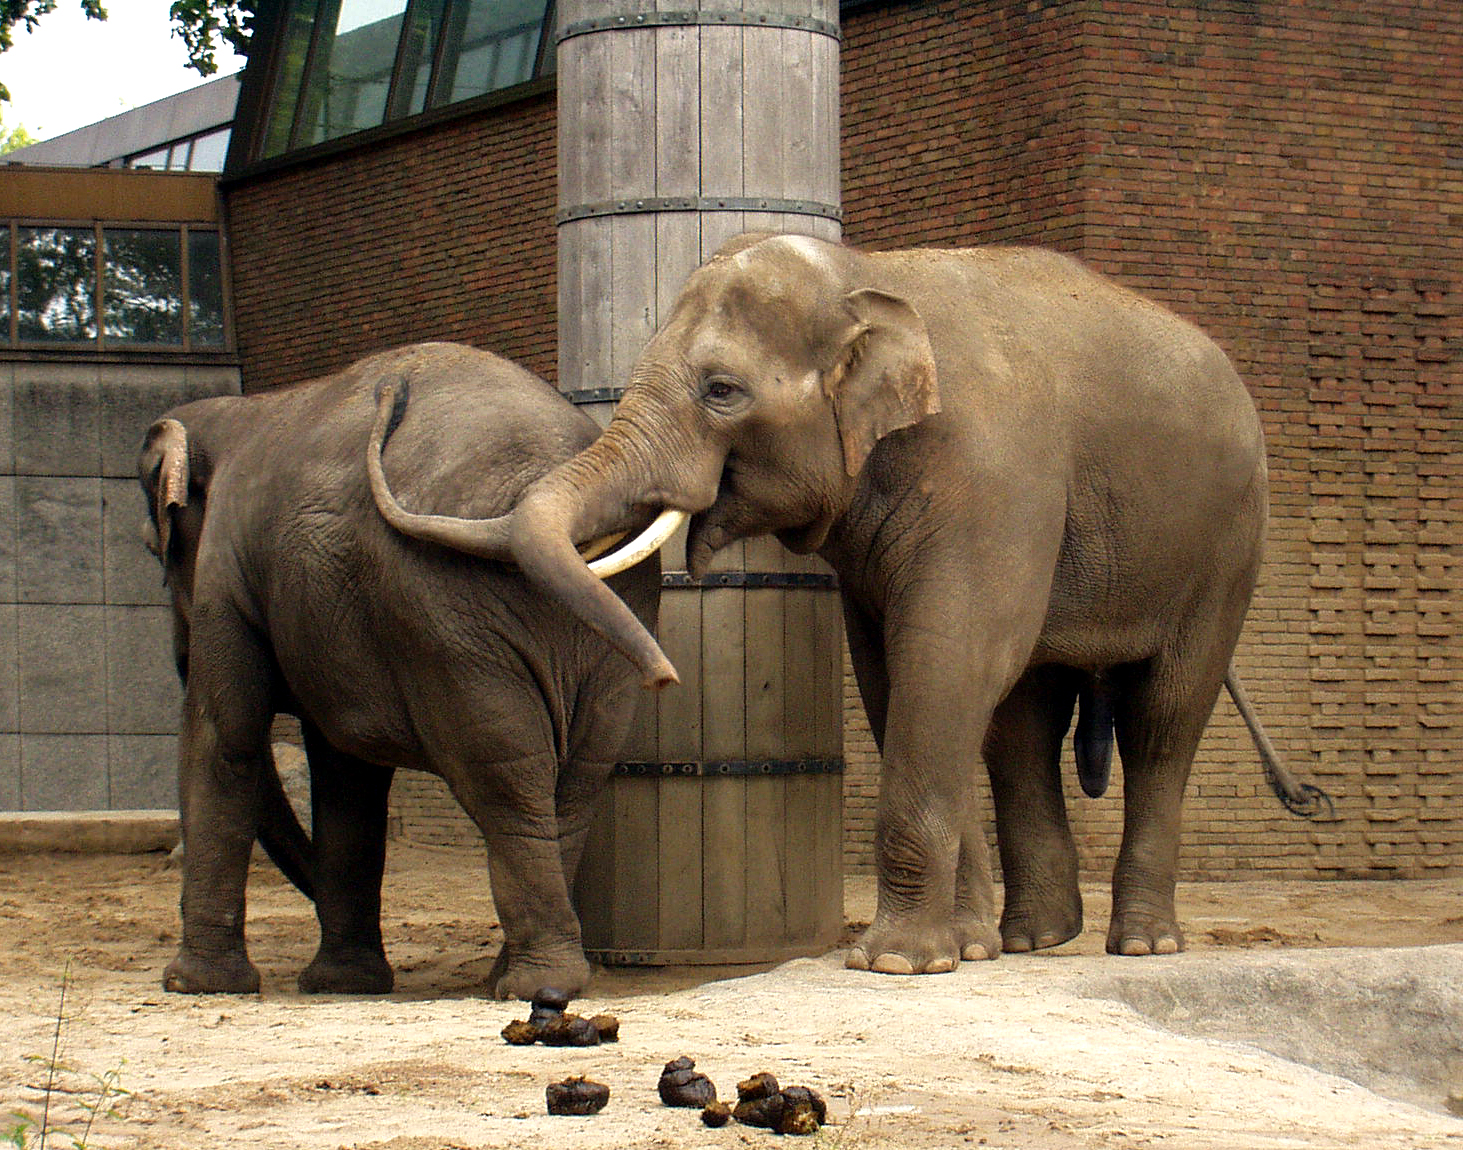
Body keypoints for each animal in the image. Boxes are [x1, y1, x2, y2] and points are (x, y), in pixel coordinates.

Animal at [138, 341, 658, 999]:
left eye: (154, 550)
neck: (236, 409)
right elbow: (346, 775)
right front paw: (344, 983)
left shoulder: (225, 576)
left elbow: (223, 739)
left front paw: (194, 985)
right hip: (602, 625)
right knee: (575, 782)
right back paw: (517, 980)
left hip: (449, 623)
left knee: (505, 776)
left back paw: (534, 986)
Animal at [369, 234, 1271, 976]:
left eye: (721, 390)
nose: (665, 679)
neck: (867, 278)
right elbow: (895, 678)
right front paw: (963, 949)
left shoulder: (995, 479)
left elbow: (948, 660)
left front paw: (897, 964)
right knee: (1023, 722)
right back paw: (1033, 940)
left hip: (1228, 543)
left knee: (1162, 717)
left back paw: (1143, 944)